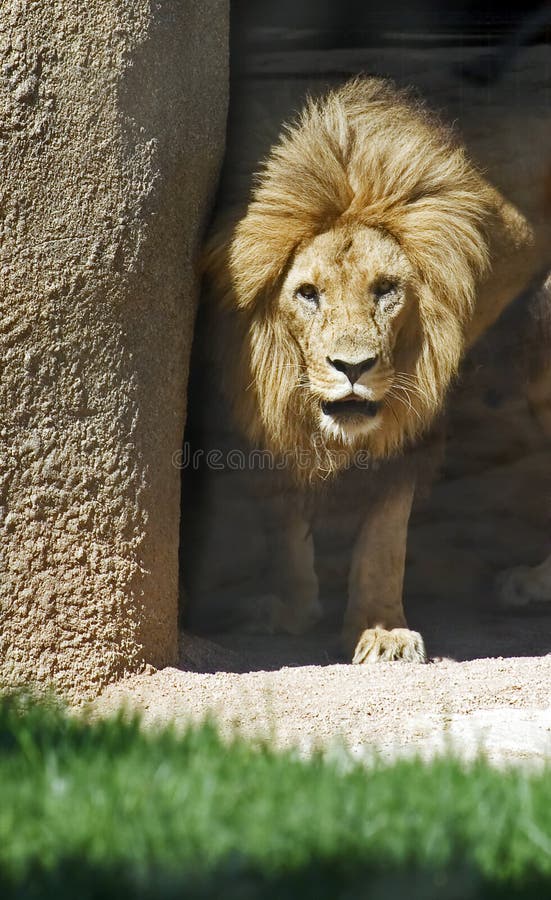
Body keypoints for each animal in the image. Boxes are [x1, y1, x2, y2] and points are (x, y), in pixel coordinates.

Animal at [204, 77, 551, 663]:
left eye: (386, 289)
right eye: (308, 294)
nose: (353, 367)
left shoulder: (414, 415)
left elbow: (383, 538)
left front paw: (381, 629)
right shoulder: (265, 414)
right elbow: (284, 520)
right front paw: (292, 609)